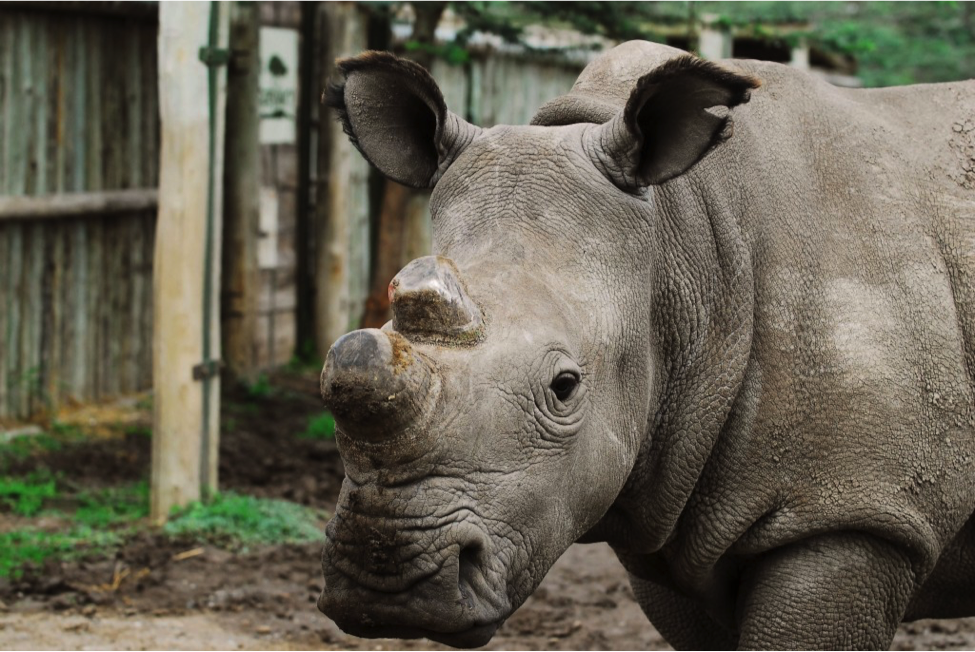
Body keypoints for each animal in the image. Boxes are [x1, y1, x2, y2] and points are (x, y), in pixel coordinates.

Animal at [316, 41, 975, 650]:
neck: (683, 237)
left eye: (564, 387)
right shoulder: (667, 528)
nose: (389, 587)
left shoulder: (855, 513)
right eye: (330, 374)